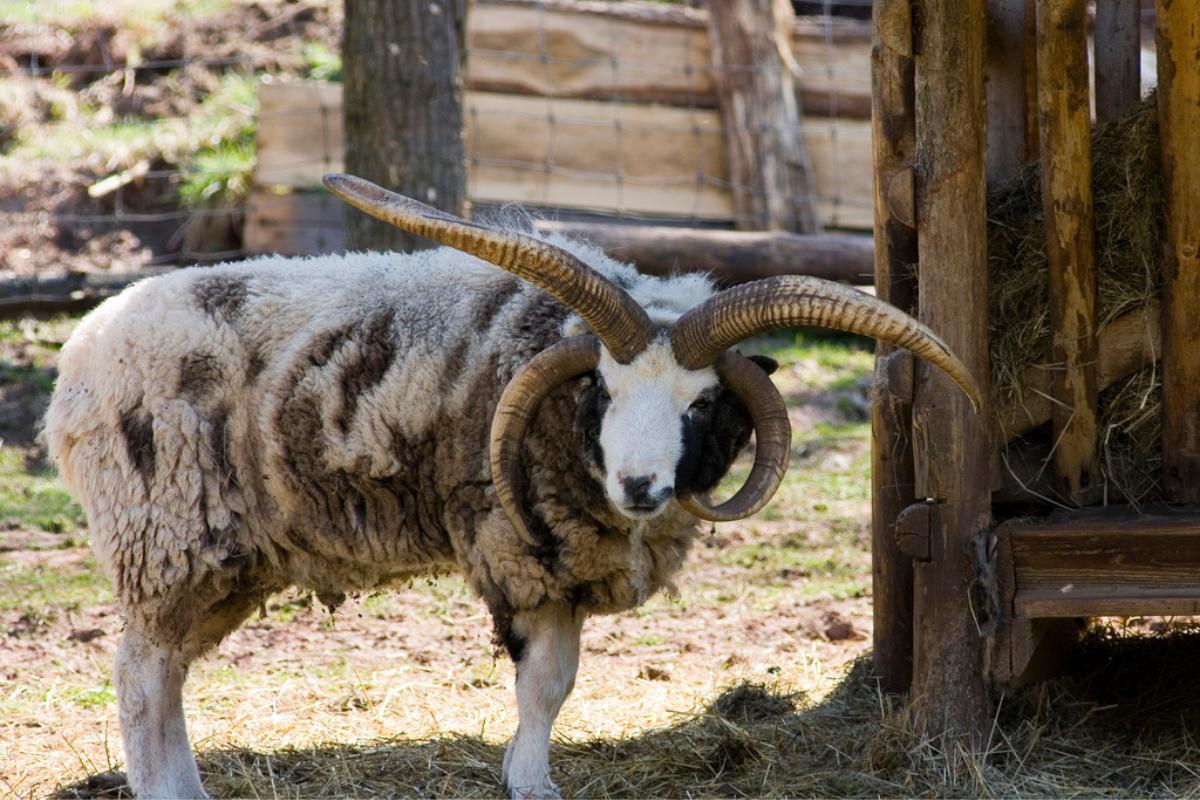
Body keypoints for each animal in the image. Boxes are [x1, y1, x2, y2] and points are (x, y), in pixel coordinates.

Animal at [42, 174, 980, 800]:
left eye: (703, 402)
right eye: (601, 387)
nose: (641, 485)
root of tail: (75, 362)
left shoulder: (565, 562)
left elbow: (559, 685)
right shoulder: (520, 552)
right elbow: (542, 684)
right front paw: (531, 783)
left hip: (223, 555)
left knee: (166, 670)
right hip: (165, 535)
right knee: (139, 673)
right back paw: (165, 789)